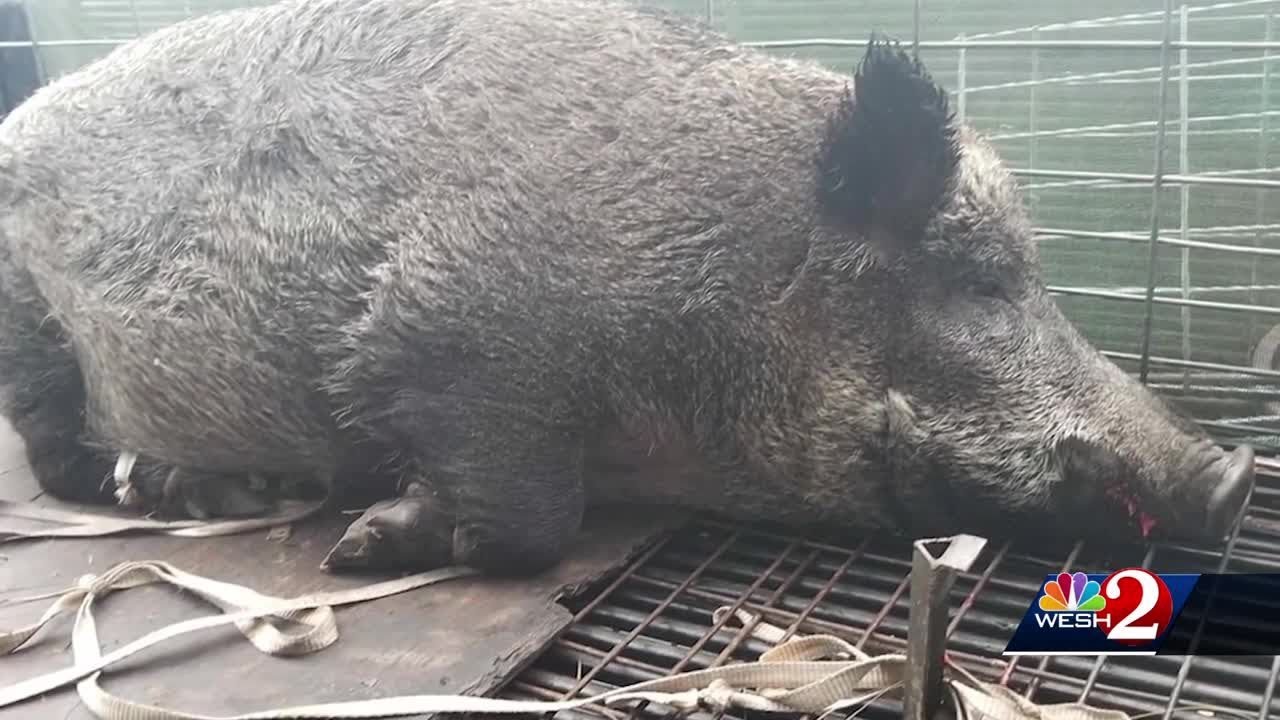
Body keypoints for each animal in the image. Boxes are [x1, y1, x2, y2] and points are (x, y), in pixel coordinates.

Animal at [0, 0, 1255, 576]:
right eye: (979, 279)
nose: (1234, 476)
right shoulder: (445, 334)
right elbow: (533, 522)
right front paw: (367, 545)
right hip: (25, 316)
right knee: (53, 446)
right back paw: (141, 497)